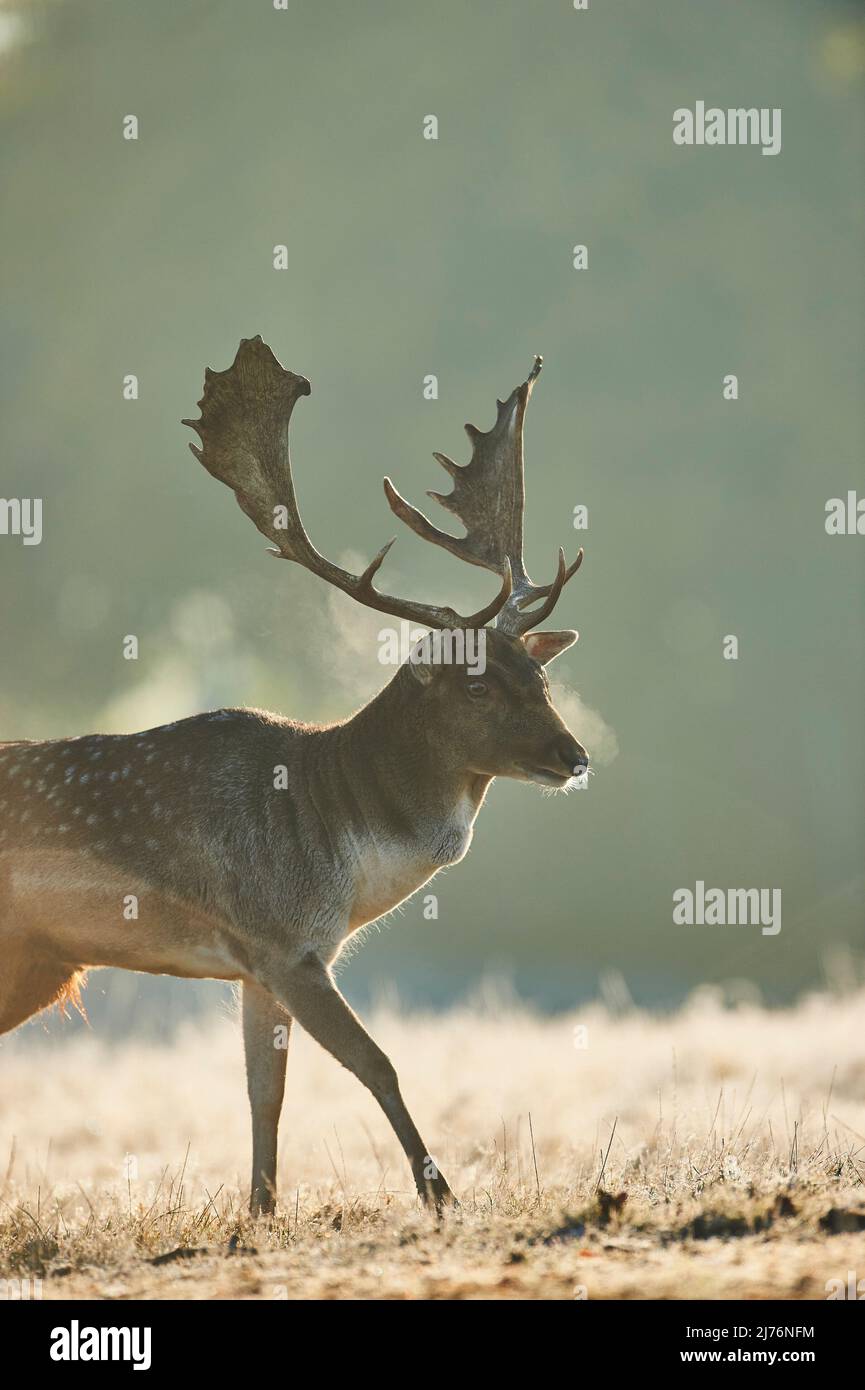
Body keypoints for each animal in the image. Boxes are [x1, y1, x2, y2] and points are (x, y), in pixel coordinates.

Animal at [0, 336, 589, 1214]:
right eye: (478, 684)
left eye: (540, 676)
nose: (574, 757)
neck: (339, 837)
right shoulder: (283, 942)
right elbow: (376, 1062)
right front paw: (441, 1197)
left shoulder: (259, 963)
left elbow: (264, 1091)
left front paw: (260, 1211)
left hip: (40, 960)